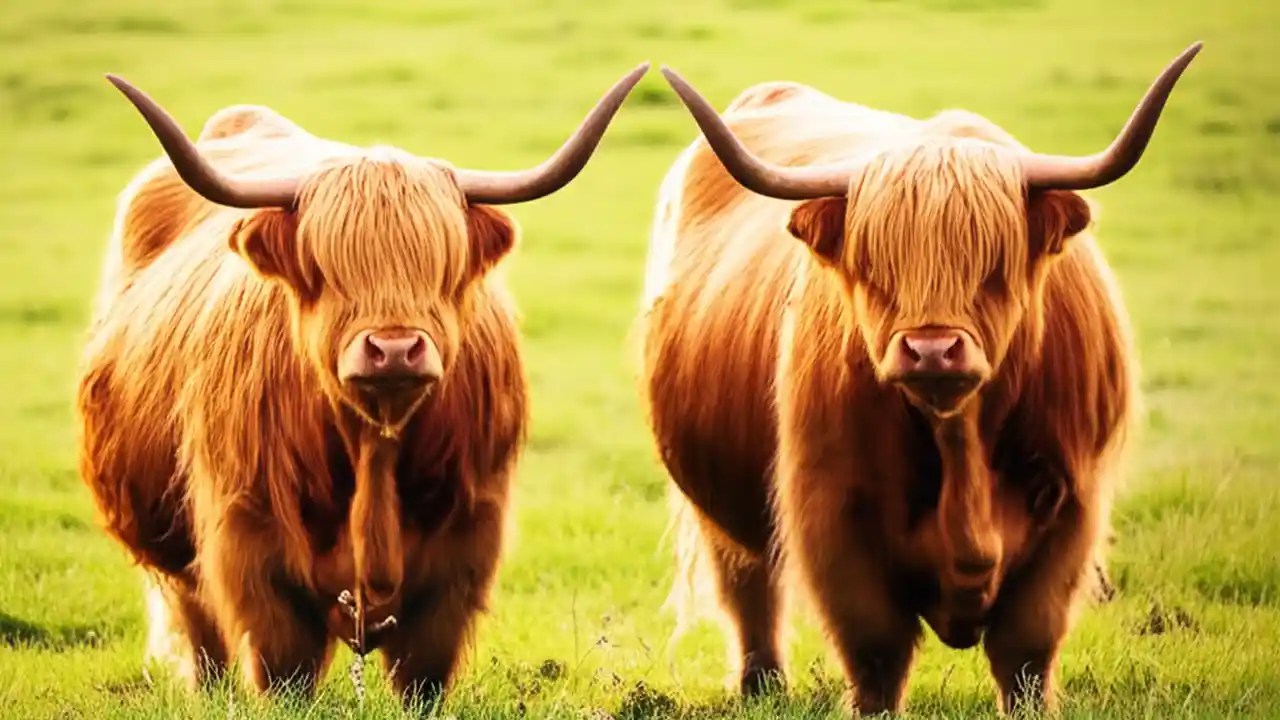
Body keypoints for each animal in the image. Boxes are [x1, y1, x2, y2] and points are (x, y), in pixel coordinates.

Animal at [76, 63, 647, 706]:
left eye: (441, 265)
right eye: (326, 268)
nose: (394, 349)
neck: (374, 448)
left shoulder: (465, 545)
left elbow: (424, 674)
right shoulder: (250, 537)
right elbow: (283, 669)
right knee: (200, 630)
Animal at [638, 44, 1199, 715]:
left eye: (994, 267)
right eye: (875, 267)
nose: (932, 350)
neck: (961, 449)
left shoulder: (1072, 506)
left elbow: (1027, 651)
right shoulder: (833, 515)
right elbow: (875, 654)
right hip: (718, 509)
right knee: (749, 590)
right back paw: (761, 686)